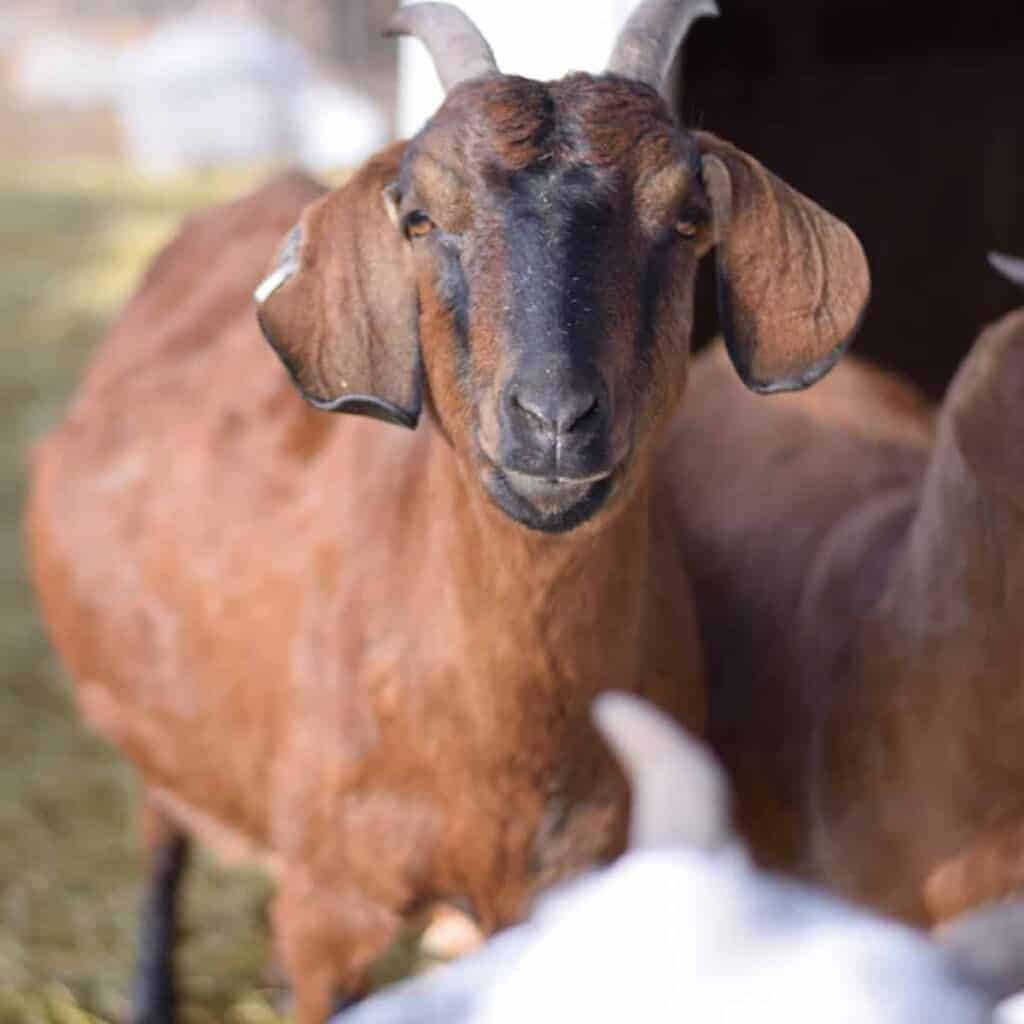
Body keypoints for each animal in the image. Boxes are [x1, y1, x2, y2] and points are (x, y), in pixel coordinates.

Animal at [25, 1, 868, 1019]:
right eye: (422, 216)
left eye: (688, 215)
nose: (554, 420)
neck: (503, 751)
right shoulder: (333, 906)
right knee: (160, 828)